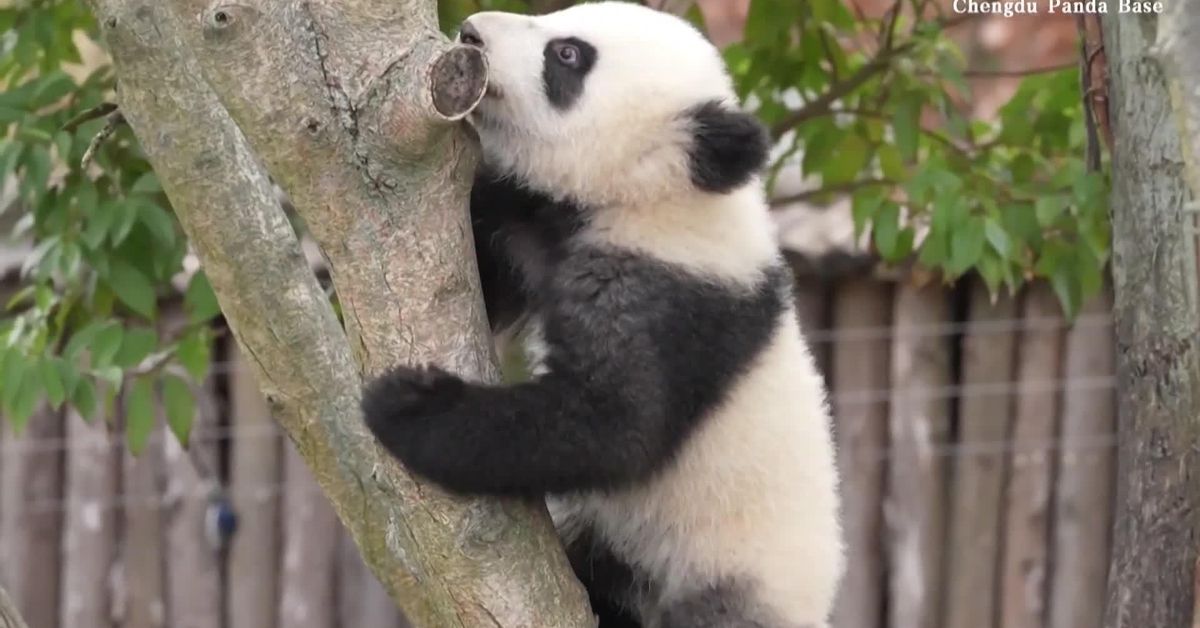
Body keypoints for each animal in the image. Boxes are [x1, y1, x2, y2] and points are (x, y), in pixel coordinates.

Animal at [361, 2, 844, 627]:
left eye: (567, 55)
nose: (471, 32)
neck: (657, 197)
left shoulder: (673, 298)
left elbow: (609, 424)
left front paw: (408, 405)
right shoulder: (533, 218)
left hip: (725, 580)